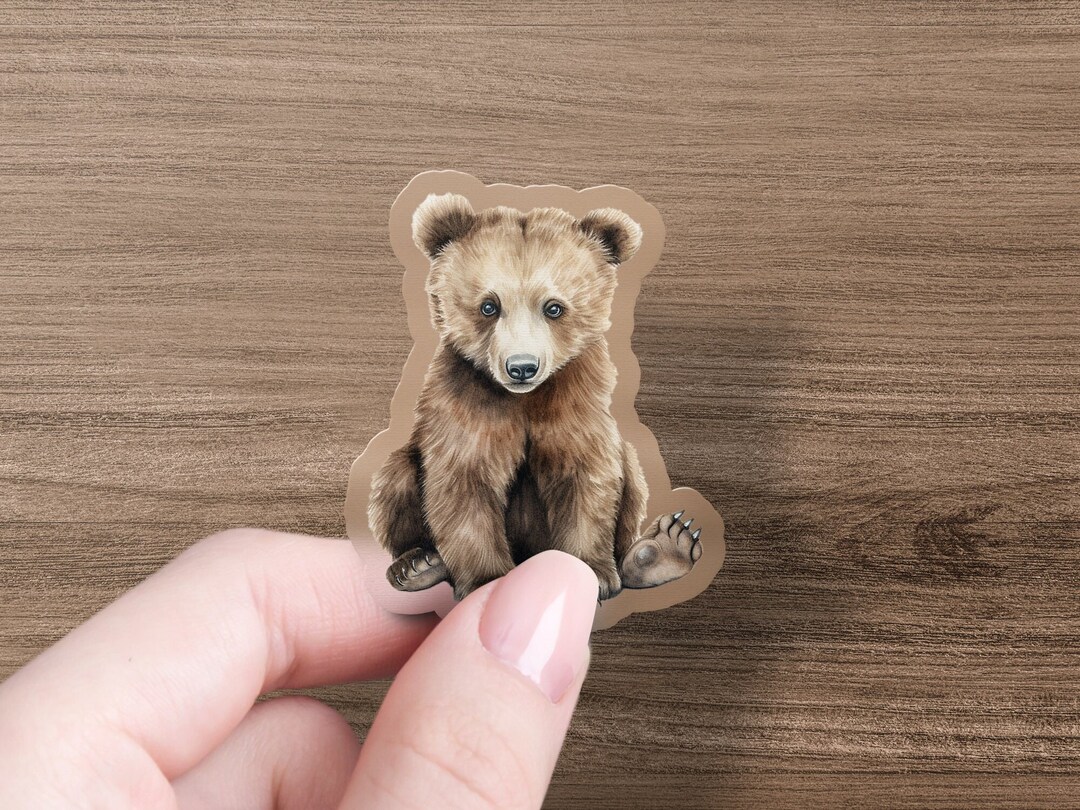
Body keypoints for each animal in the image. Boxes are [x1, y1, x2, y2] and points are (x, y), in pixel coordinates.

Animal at [368, 192, 702, 601]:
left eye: (554, 307)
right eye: (489, 305)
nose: (522, 367)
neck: (525, 399)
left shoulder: (576, 401)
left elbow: (586, 478)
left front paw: (590, 572)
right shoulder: (468, 401)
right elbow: (465, 483)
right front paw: (488, 580)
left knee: (632, 470)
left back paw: (660, 551)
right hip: (409, 463)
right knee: (395, 477)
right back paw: (417, 564)